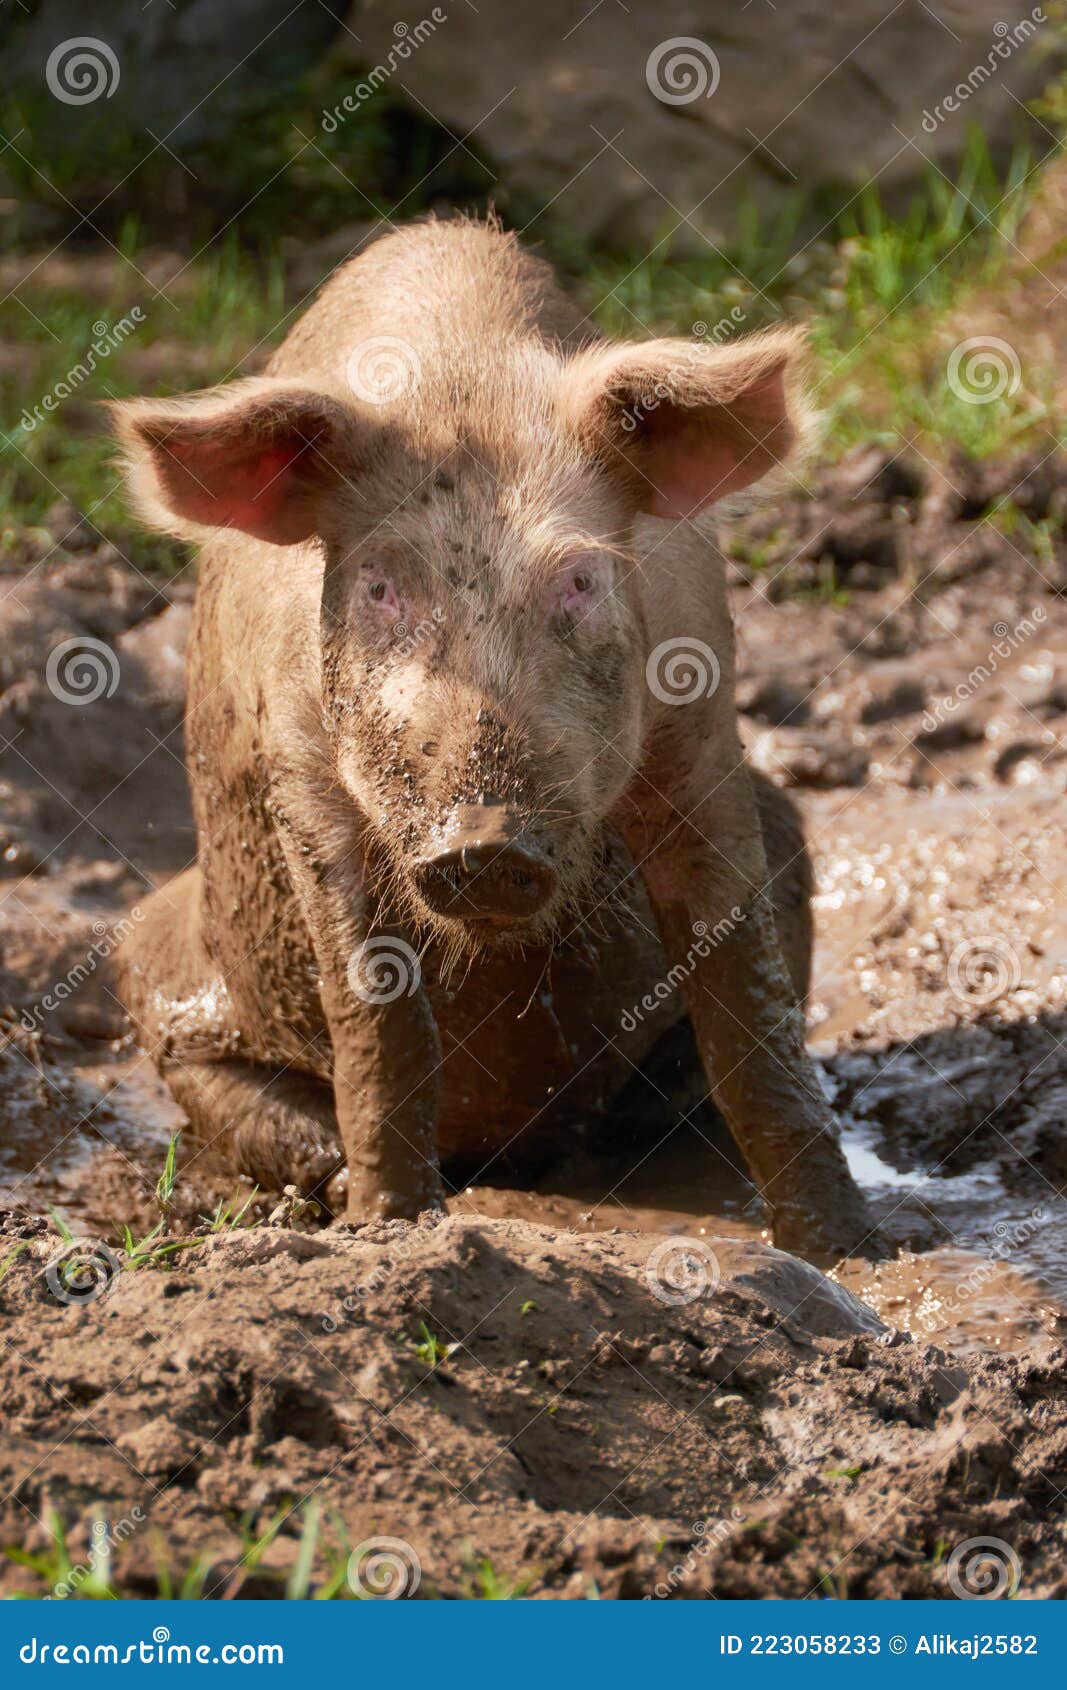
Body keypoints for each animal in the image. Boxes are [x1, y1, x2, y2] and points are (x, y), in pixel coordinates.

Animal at [112, 216, 878, 1264]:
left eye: (580, 579)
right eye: (381, 585)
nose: (483, 844)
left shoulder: (703, 729)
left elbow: (746, 1000)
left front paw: (850, 1253)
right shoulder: (302, 774)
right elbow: (376, 1018)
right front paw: (389, 1231)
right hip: (153, 953)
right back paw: (327, 1185)